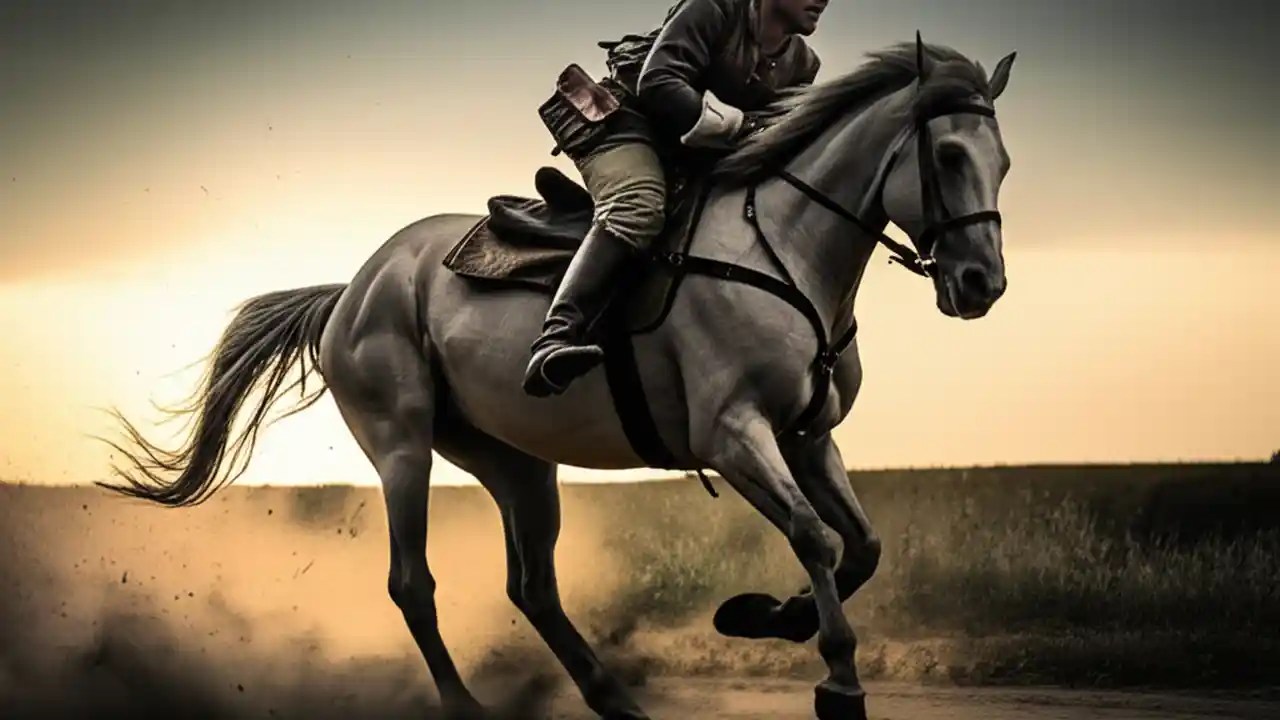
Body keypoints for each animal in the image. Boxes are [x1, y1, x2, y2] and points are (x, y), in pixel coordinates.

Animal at [96, 36, 1016, 720]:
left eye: (1003, 162)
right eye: (947, 154)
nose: (981, 284)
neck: (781, 244)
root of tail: (354, 287)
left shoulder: (808, 435)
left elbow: (861, 544)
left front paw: (768, 617)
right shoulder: (734, 435)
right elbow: (816, 537)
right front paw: (837, 680)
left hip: (515, 462)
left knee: (533, 586)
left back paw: (617, 701)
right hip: (402, 448)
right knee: (412, 583)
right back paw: (468, 706)